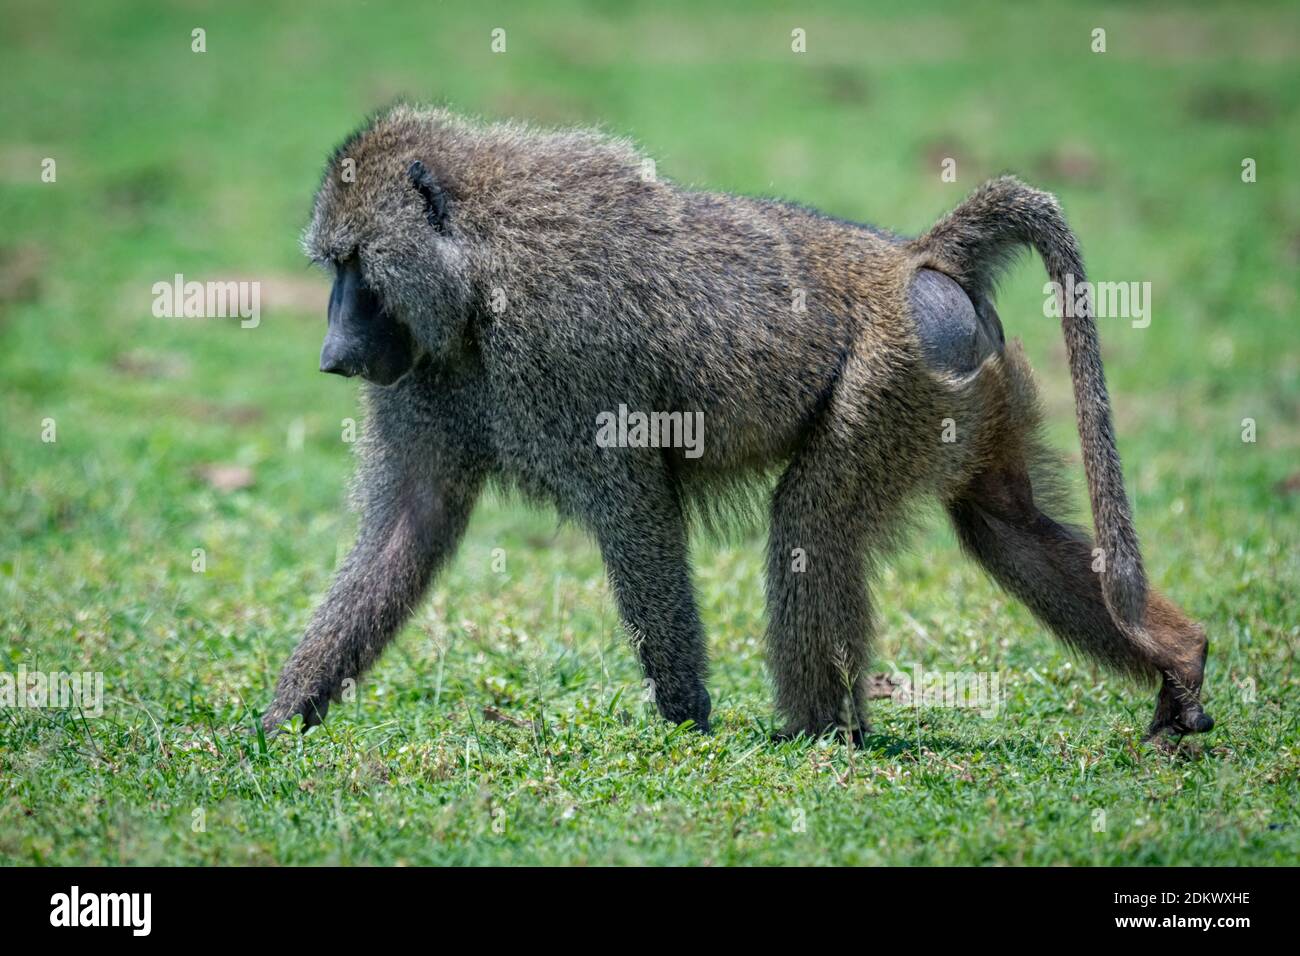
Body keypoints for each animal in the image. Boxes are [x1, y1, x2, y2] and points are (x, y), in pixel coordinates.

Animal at [262, 104, 1214, 745]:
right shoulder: (423, 373)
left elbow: (635, 516)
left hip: (894, 376)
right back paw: (1181, 662)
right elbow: (411, 522)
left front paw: (686, 719)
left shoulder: (566, 349)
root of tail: (918, 256)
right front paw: (282, 718)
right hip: (968, 390)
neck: (477, 268)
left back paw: (819, 734)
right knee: (1003, 524)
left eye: (354, 266)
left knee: (813, 525)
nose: (333, 355)